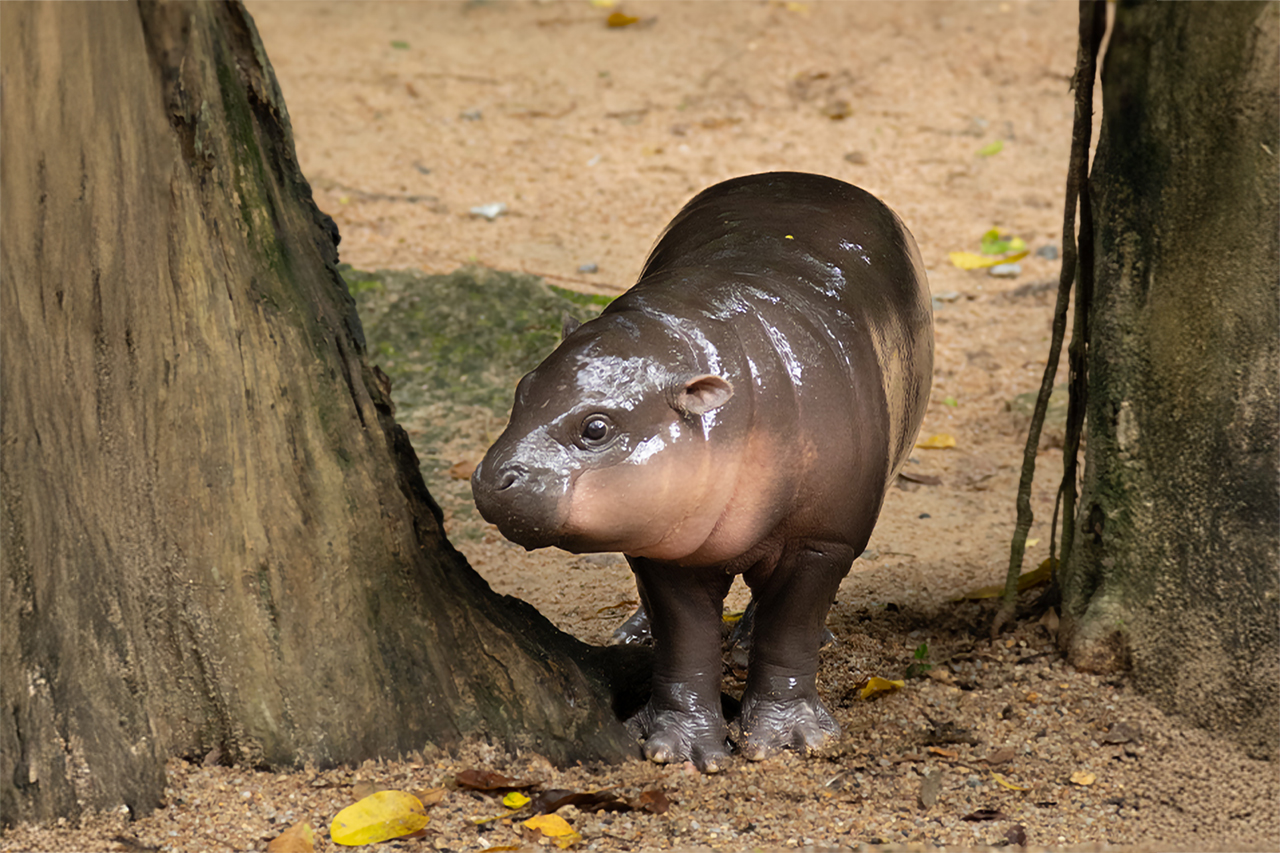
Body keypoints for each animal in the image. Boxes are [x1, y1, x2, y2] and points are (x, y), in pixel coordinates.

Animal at [472, 172, 933, 771]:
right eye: (522, 388)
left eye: (596, 427)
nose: (491, 478)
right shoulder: (665, 547)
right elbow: (685, 641)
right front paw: (679, 748)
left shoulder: (823, 540)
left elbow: (790, 632)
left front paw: (790, 739)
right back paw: (634, 637)